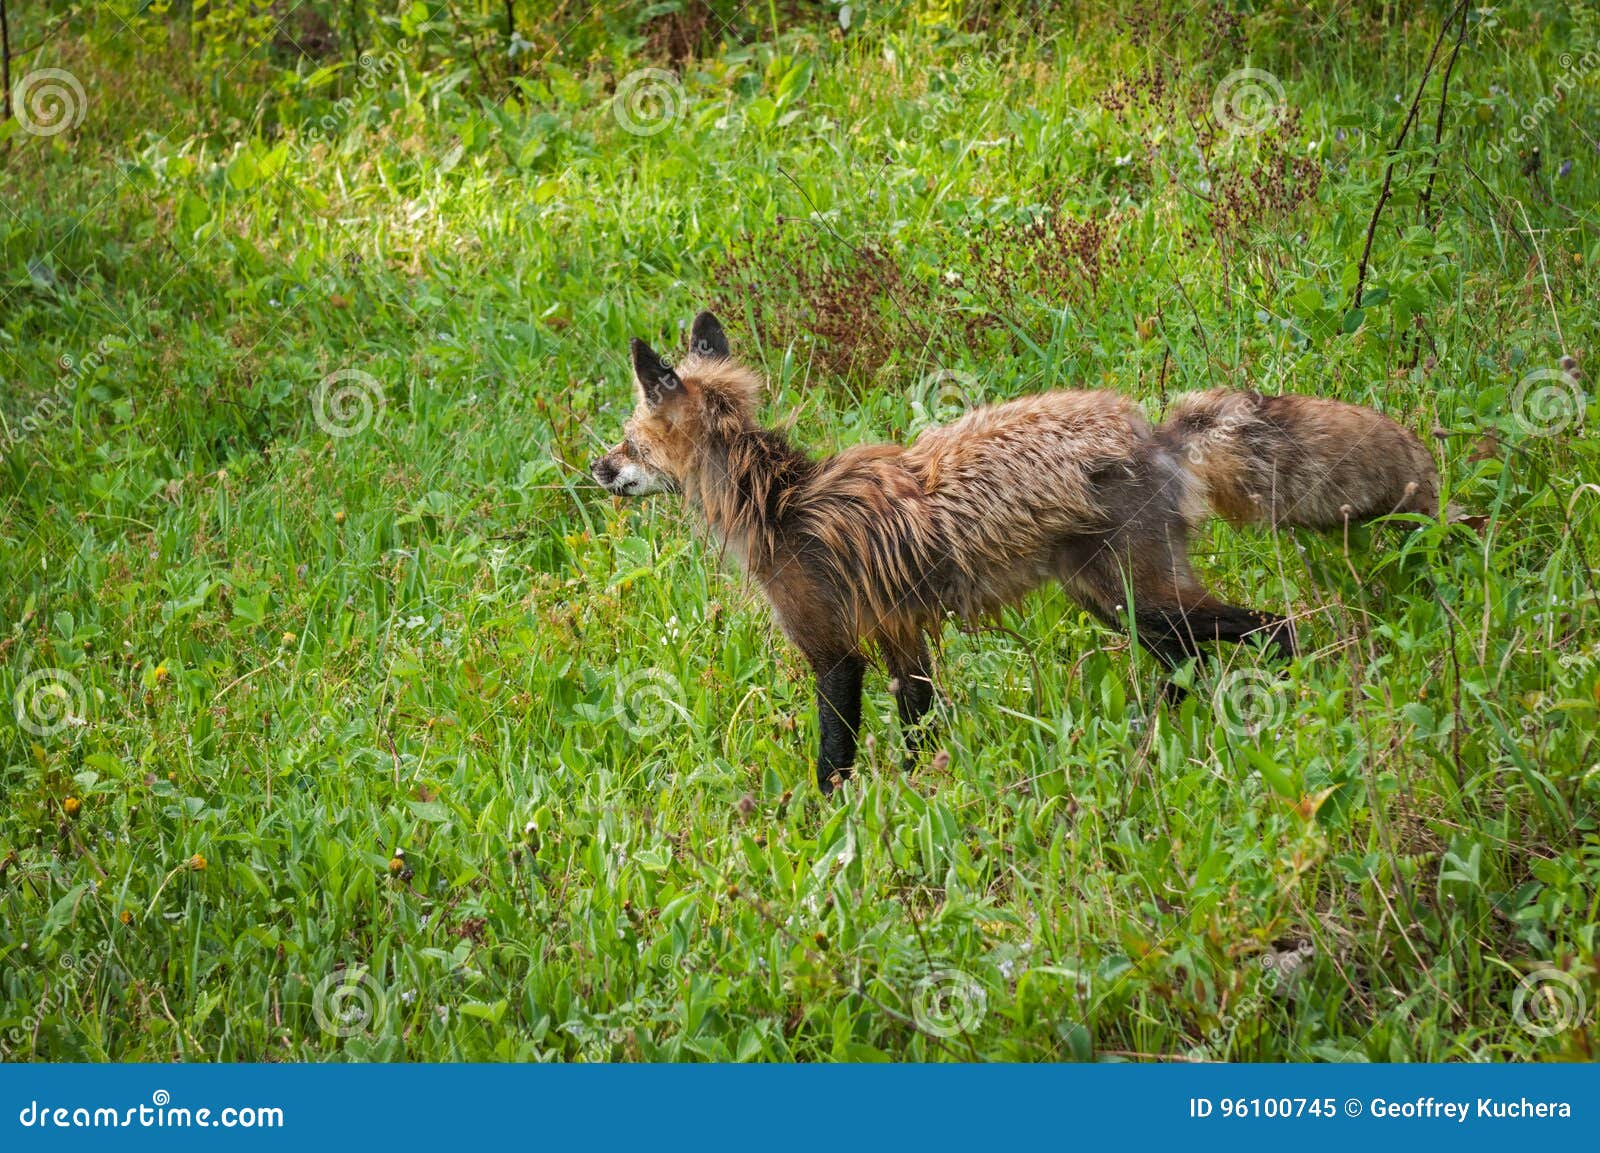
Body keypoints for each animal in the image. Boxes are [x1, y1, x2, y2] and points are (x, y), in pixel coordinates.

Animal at [592, 311, 1441, 794]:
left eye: (629, 439)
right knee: (1190, 666)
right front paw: (922, 795)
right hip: (1119, 605)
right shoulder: (904, 639)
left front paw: (828, 823)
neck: (779, 506)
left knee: (1273, 630)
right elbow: (920, 732)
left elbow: (834, 757)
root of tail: (1157, 434)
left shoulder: (834, 650)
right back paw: (1149, 742)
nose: (595, 468)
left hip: (1142, 600)